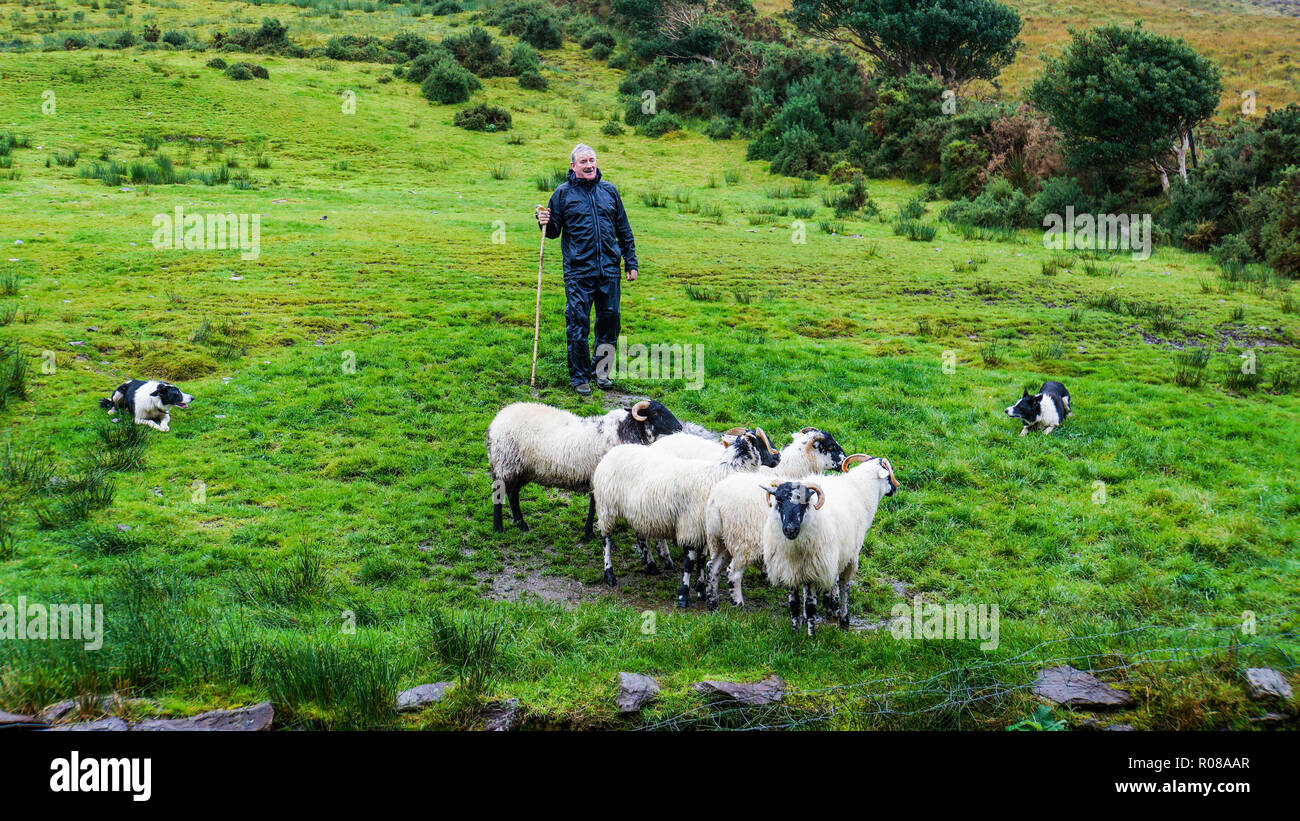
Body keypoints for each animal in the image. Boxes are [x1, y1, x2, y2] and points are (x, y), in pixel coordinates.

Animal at [486, 399, 683, 535]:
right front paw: (591, 533)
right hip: (505, 463)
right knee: (500, 493)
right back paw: (498, 528)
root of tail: (496, 420)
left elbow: (593, 504)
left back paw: (521, 524)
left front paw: (589, 532)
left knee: (513, 494)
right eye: (656, 413)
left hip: (523, 469)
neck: (622, 430)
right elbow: (594, 506)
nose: (679, 427)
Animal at [591, 429, 780, 607]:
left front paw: (702, 590)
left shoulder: (703, 529)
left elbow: (702, 560)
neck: (722, 472)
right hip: (607, 506)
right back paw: (609, 574)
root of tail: (614, 450)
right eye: (761, 442)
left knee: (641, 536)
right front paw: (684, 596)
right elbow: (689, 562)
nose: (777, 457)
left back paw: (650, 565)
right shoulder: (690, 526)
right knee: (606, 539)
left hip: (640, 514)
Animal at [703, 428, 847, 610]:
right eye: (831, 446)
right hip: (743, 540)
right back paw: (738, 603)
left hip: (717, 538)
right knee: (733, 572)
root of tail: (716, 502)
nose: (846, 461)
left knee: (712, 566)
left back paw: (712, 601)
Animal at [760, 453, 899, 636]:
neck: (859, 490)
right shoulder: (846, 556)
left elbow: (804, 603)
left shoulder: (808, 567)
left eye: (806, 501)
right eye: (779, 500)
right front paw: (816, 631)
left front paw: (803, 629)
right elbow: (834, 591)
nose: (790, 529)